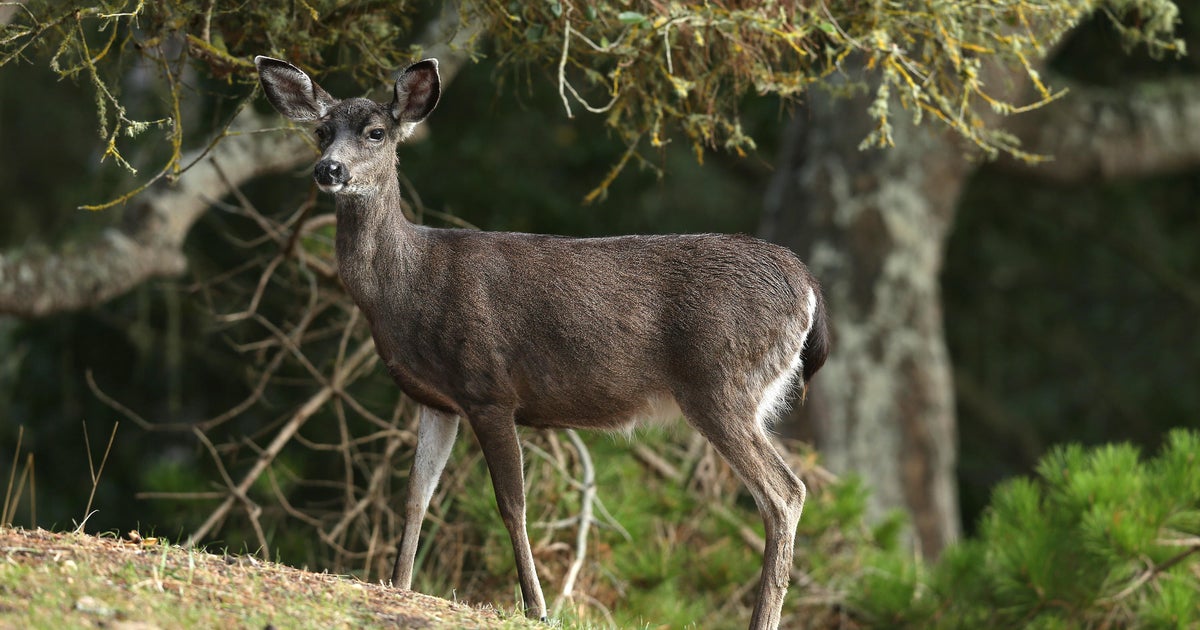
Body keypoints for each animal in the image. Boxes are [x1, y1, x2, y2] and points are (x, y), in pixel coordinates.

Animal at [255, 55, 829, 630]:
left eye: (376, 132)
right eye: (321, 131)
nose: (329, 170)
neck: (406, 286)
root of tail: (807, 285)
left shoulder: (488, 388)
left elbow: (512, 504)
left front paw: (536, 605)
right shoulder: (436, 400)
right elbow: (416, 495)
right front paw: (398, 584)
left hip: (723, 382)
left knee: (785, 493)